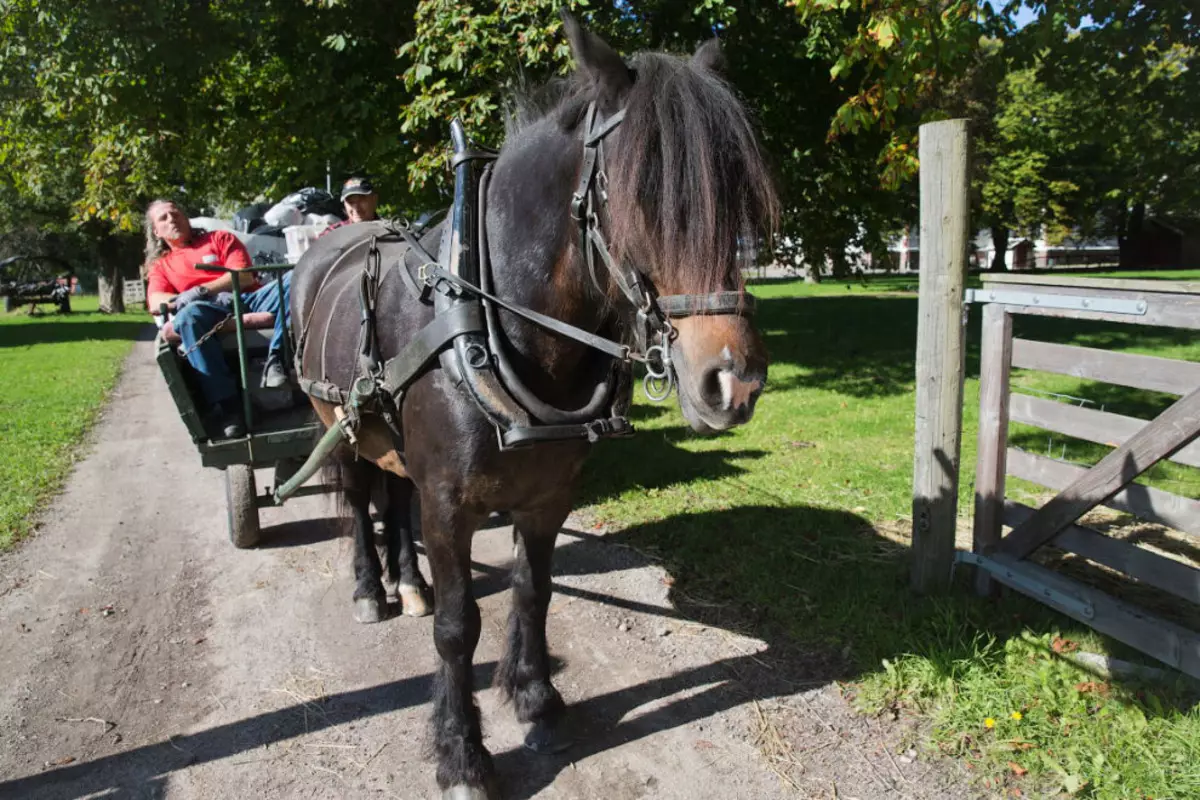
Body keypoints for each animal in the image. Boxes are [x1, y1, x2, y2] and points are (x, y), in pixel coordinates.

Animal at [288, 17, 777, 800]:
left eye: (737, 196)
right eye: (641, 193)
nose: (733, 383)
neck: (494, 321)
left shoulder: (549, 496)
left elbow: (534, 590)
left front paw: (537, 701)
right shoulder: (450, 502)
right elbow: (459, 626)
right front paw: (462, 754)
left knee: (394, 499)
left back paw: (407, 580)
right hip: (339, 423)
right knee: (362, 500)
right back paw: (371, 587)